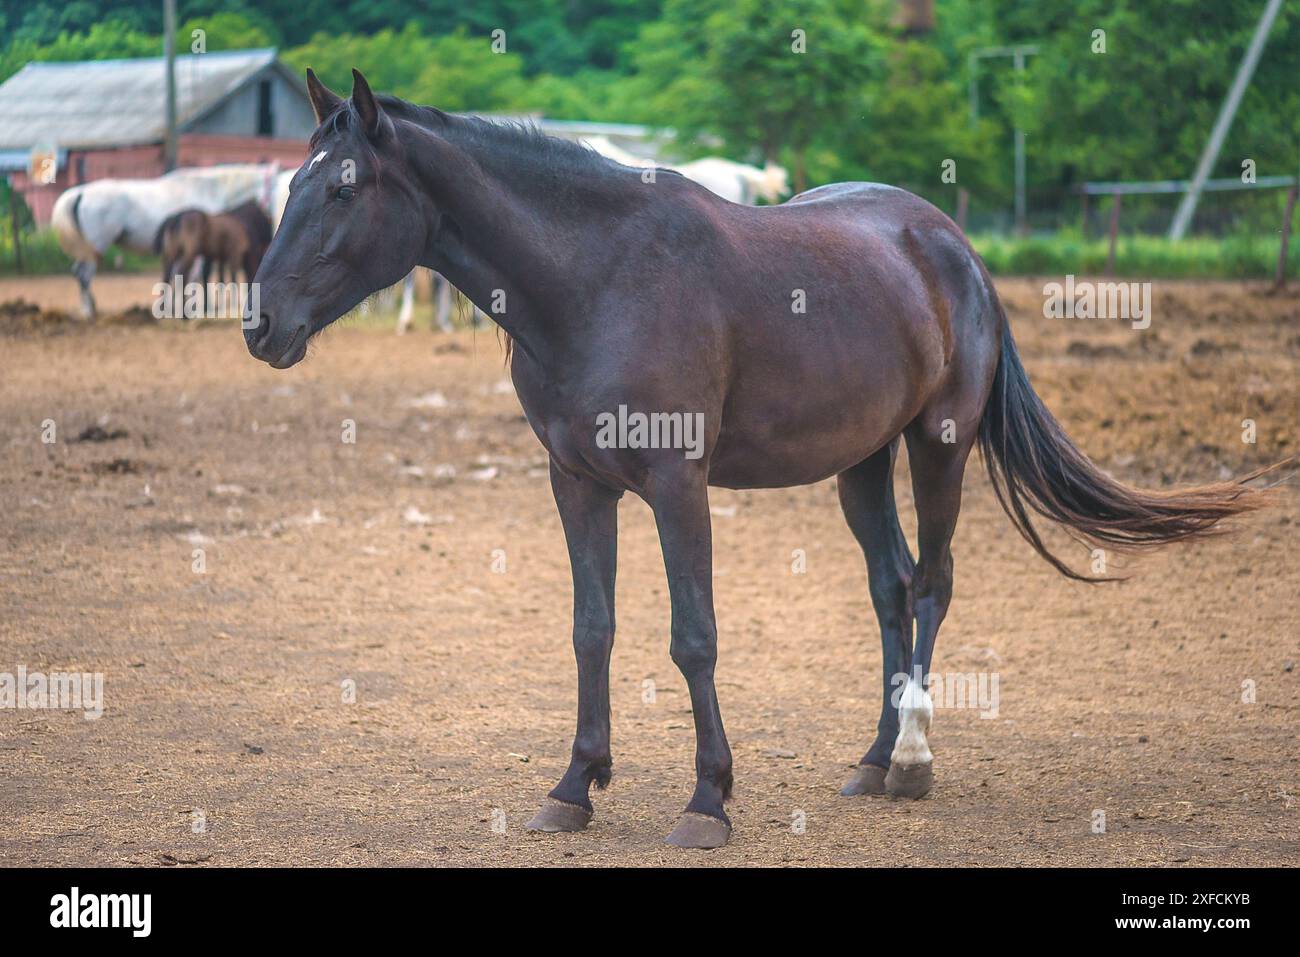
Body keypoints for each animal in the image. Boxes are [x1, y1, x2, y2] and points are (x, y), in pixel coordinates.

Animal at [51, 164, 277, 318]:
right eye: (273, 188)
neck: (207, 190)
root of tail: (81, 192)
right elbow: (196, 276)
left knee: (79, 273)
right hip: (97, 246)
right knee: (84, 276)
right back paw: (90, 310)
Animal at [245, 70, 1273, 849]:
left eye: (341, 190)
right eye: (290, 189)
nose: (261, 326)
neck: (597, 277)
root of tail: (954, 246)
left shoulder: (677, 484)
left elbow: (692, 637)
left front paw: (708, 799)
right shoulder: (577, 484)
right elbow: (591, 629)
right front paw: (574, 785)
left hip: (936, 447)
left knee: (934, 582)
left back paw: (911, 758)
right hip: (860, 463)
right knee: (892, 585)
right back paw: (870, 758)